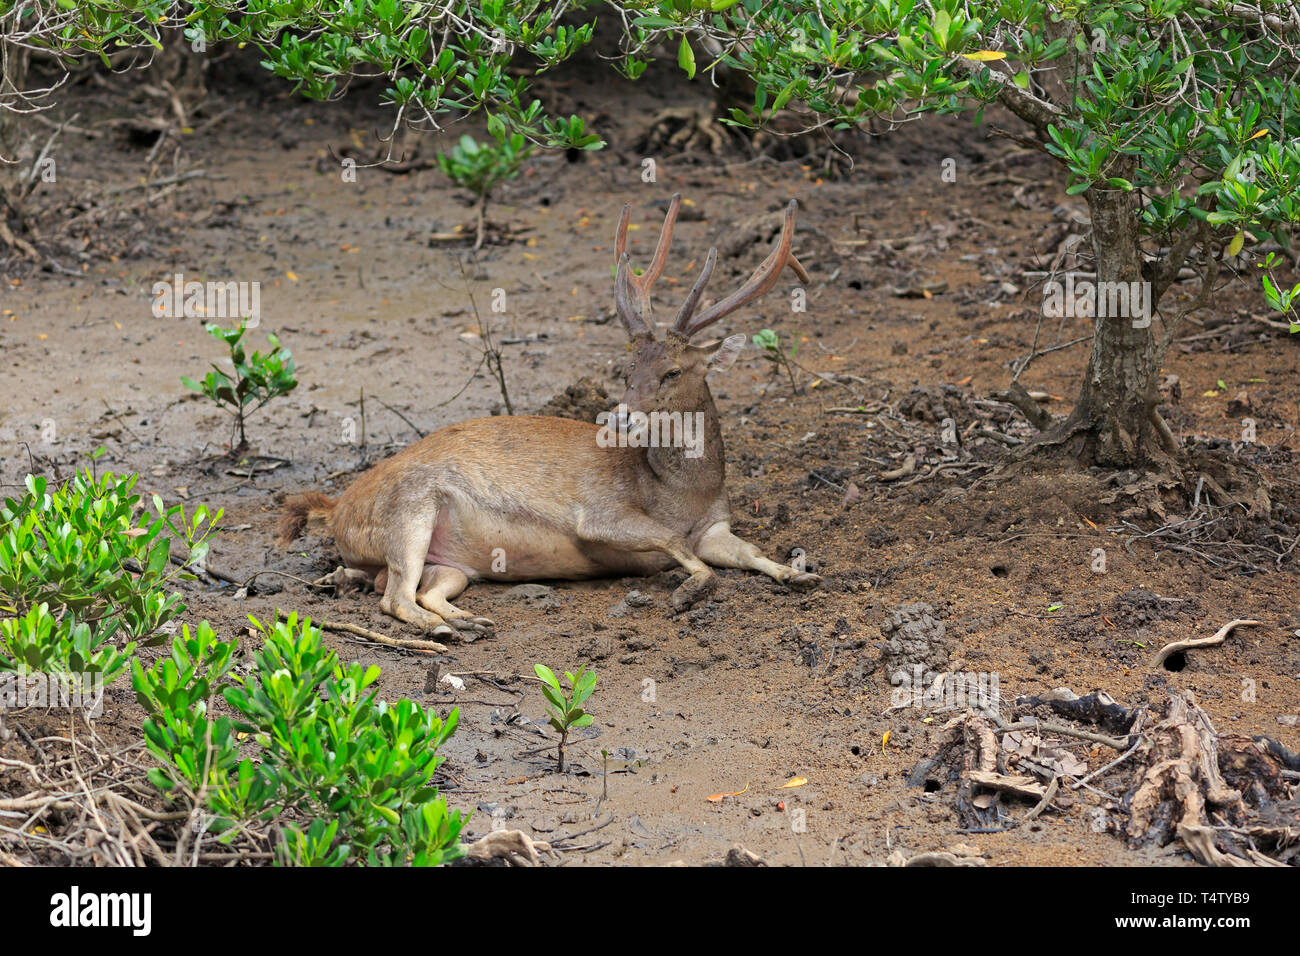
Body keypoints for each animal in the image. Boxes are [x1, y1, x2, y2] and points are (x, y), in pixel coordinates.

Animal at [277, 194, 820, 637]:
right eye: (628, 367)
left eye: (673, 371)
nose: (619, 419)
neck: (678, 495)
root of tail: (337, 508)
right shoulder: (601, 515)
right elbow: (675, 547)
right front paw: (690, 591)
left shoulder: (714, 527)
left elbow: (751, 552)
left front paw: (802, 574)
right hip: (407, 513)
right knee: (394, 598)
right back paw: (447, 629)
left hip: (448, 563)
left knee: (416, 589)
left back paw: (466, 619)